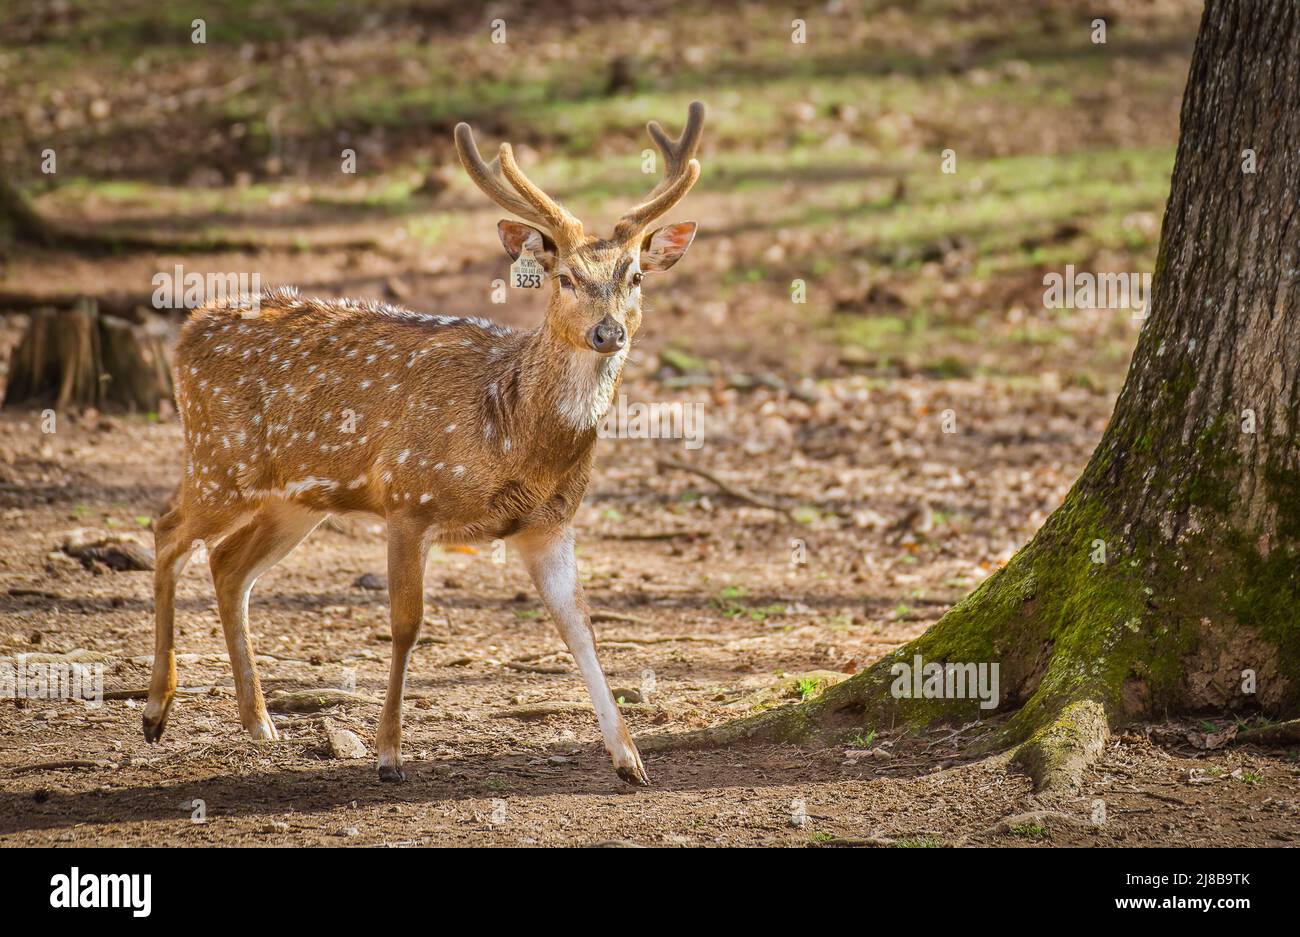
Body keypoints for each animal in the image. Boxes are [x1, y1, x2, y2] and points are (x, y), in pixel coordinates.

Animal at [142, 102, 705, 786]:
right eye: (566, 278)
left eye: (636, 276)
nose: (608, 332)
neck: (512, 435)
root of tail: (186, 332)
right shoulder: (410, 499)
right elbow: (406, 624)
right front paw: (388, 754)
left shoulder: (548, 524)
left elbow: (580, 627)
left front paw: (629, 759)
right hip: (221, 458)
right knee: (167, 530)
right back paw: (155, 711)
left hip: (294, 498)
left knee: (227, 564)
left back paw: (259, 722)